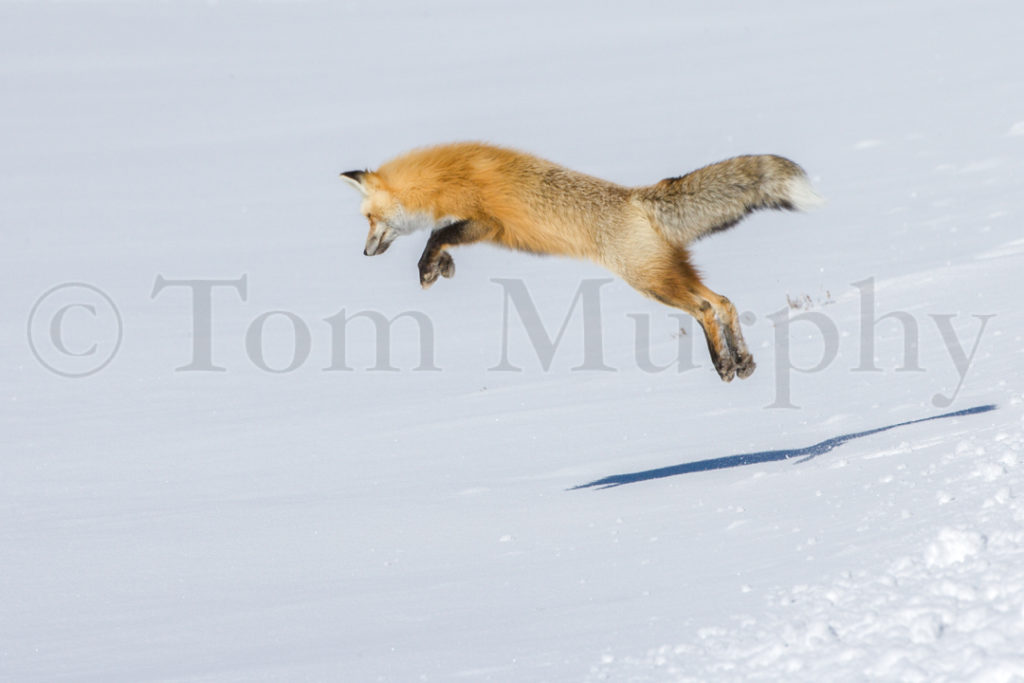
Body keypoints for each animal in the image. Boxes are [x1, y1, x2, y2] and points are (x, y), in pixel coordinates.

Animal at [340, 142, 823, 382]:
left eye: (368, 220)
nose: (363, 253)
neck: (444, 176)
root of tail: (637, 197)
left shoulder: (489, 223)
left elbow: (438, 235)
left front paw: (430, 267)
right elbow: (440, 239)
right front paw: (441, 268)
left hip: (651, 283)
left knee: (705, 308)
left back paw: (723, 366)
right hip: (669, 274)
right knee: (723, 303)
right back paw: (742, 363)